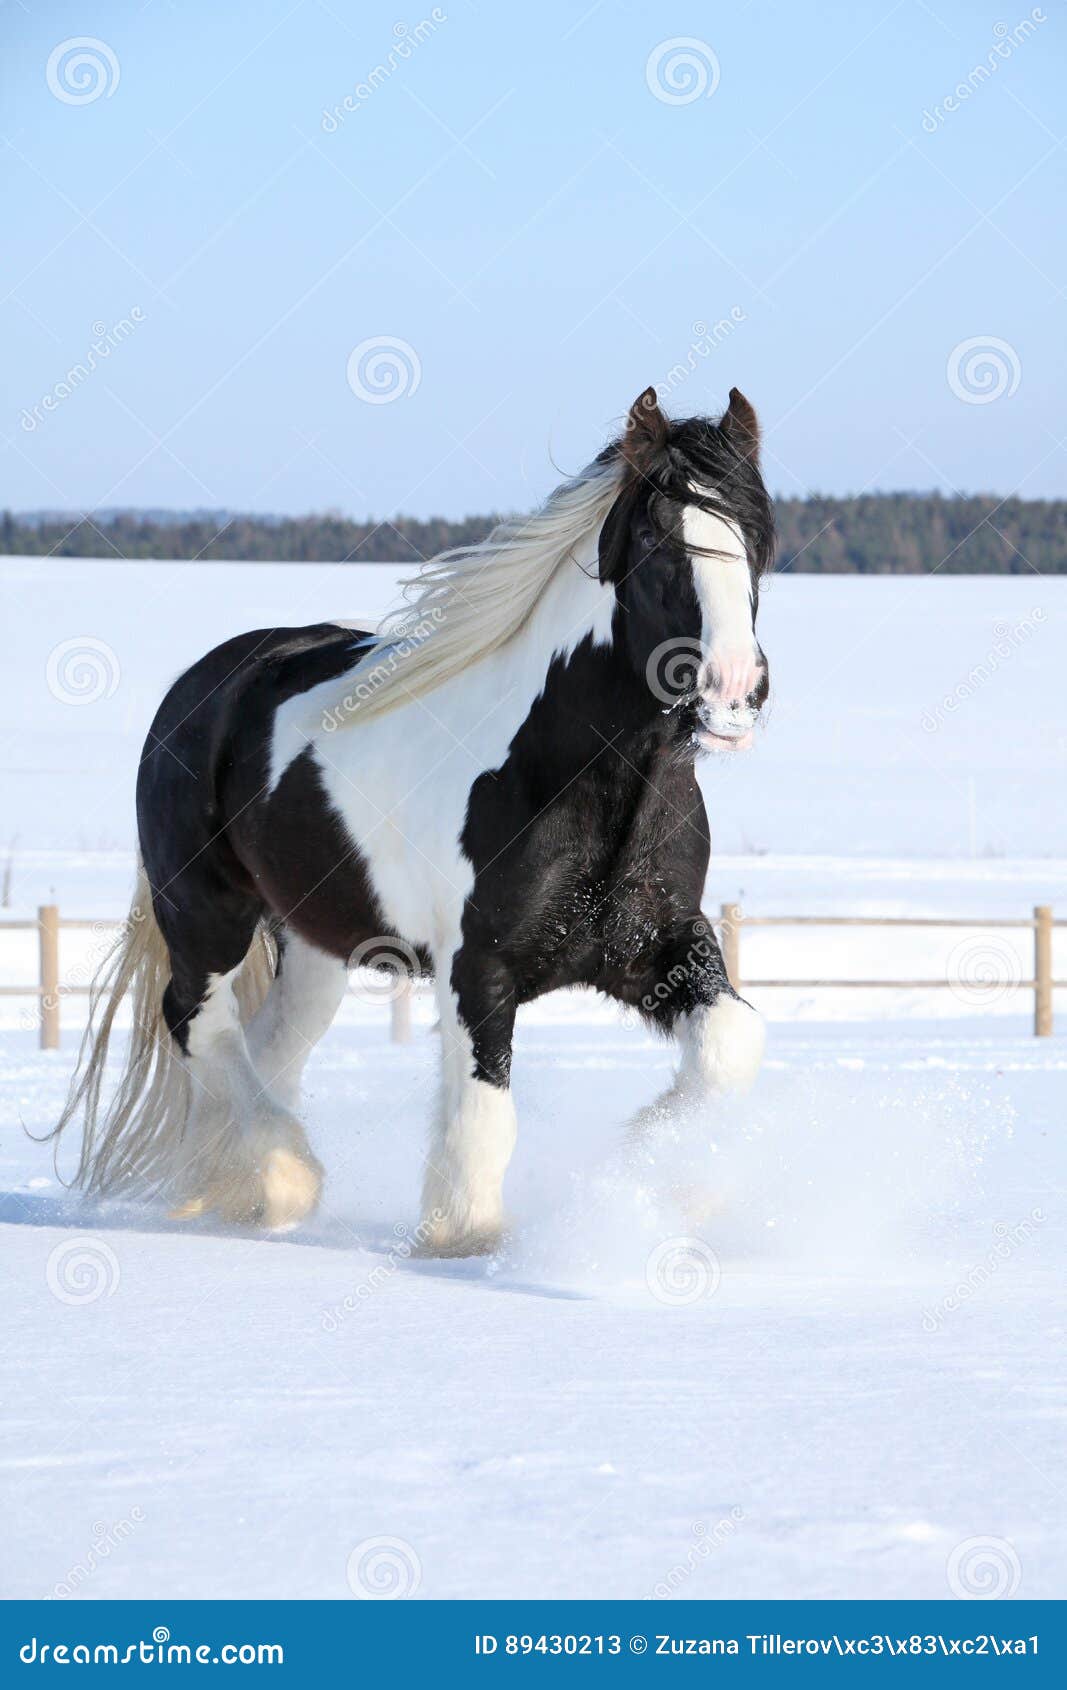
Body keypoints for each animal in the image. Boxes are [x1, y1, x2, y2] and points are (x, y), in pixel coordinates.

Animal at [53, 386, 775, 1255]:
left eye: (755, 533)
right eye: (652, 536)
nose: (732, 690)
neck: (585, 785)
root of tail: (202, 686)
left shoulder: (659, 946)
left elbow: (733, 1044)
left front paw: (654, 1176)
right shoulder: (477, 967)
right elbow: (482, 1118)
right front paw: (462, 1239)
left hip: (315, 944)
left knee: (265, 1044)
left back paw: (233, 1187)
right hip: (204, 912)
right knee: (197, 1020)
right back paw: (282, 1178)